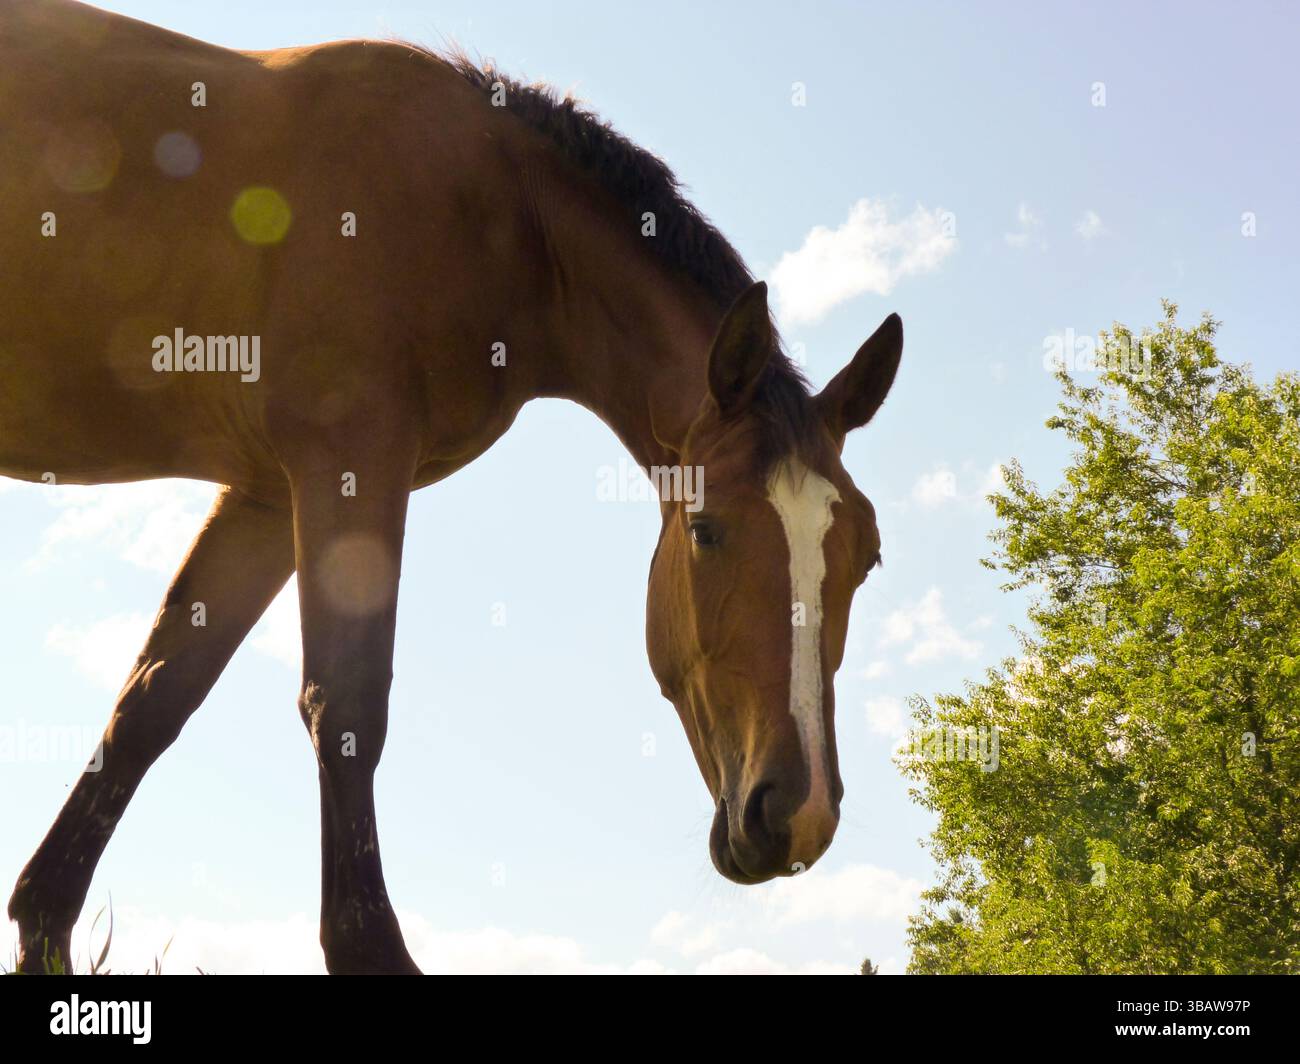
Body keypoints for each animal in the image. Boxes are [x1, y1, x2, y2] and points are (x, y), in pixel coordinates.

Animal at [0, 0, 903, 974]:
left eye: (867, 559)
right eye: (706, 530)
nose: (797, 816)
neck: (495, 215)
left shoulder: (264, 496)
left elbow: (153, 701)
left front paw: (43, 927)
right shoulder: (349, 466)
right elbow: (348, 704)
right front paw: (367, 946)